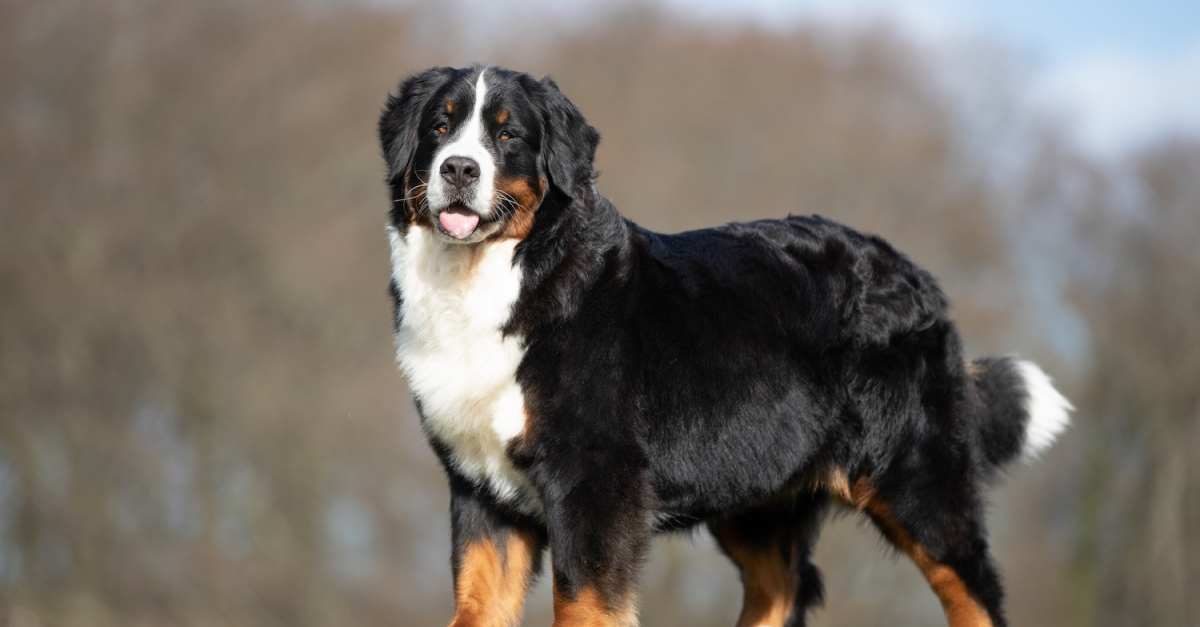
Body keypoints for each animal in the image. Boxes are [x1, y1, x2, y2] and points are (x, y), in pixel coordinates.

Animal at [374, 64, 1070, 624]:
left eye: (508, 135)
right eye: (441, 127)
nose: (459, 168)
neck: (493, 281)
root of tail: (914, 274)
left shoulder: (594, 480)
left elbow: (584, 605)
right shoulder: (480, 489)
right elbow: (476, 606)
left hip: (919, 483)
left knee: (972, 590)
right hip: (757, 492)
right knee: (782, 590)